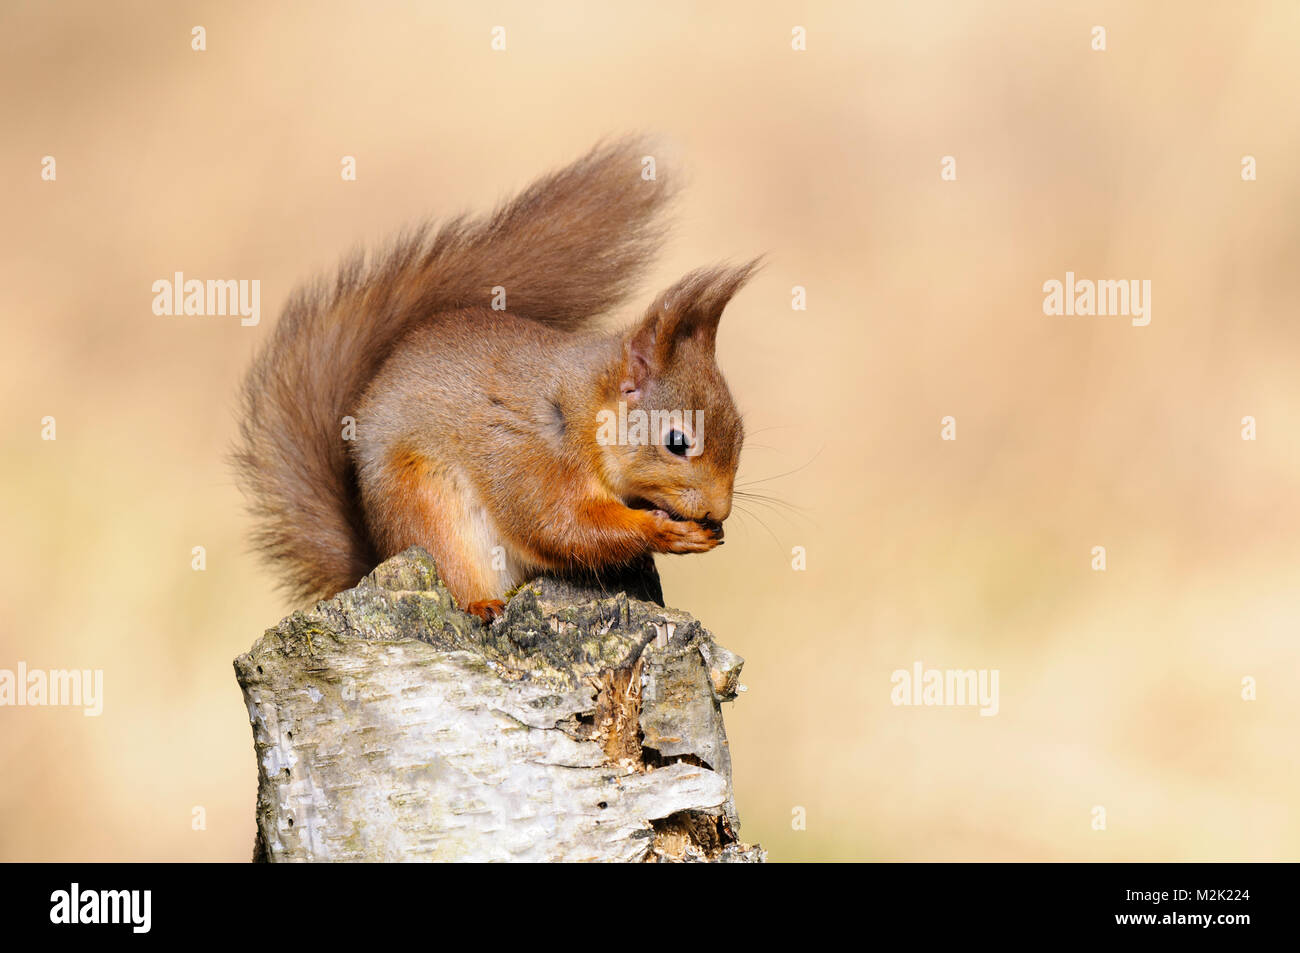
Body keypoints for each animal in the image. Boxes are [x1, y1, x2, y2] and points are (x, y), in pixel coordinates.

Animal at [235, 138, 758, 622]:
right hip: (429, 511)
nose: (719, 511)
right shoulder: (531, 459)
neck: (580, 409)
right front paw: (667, 531)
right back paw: (481, 604)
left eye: (741, 433)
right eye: (677, 442)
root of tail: (377, 556)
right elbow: (559, 526)